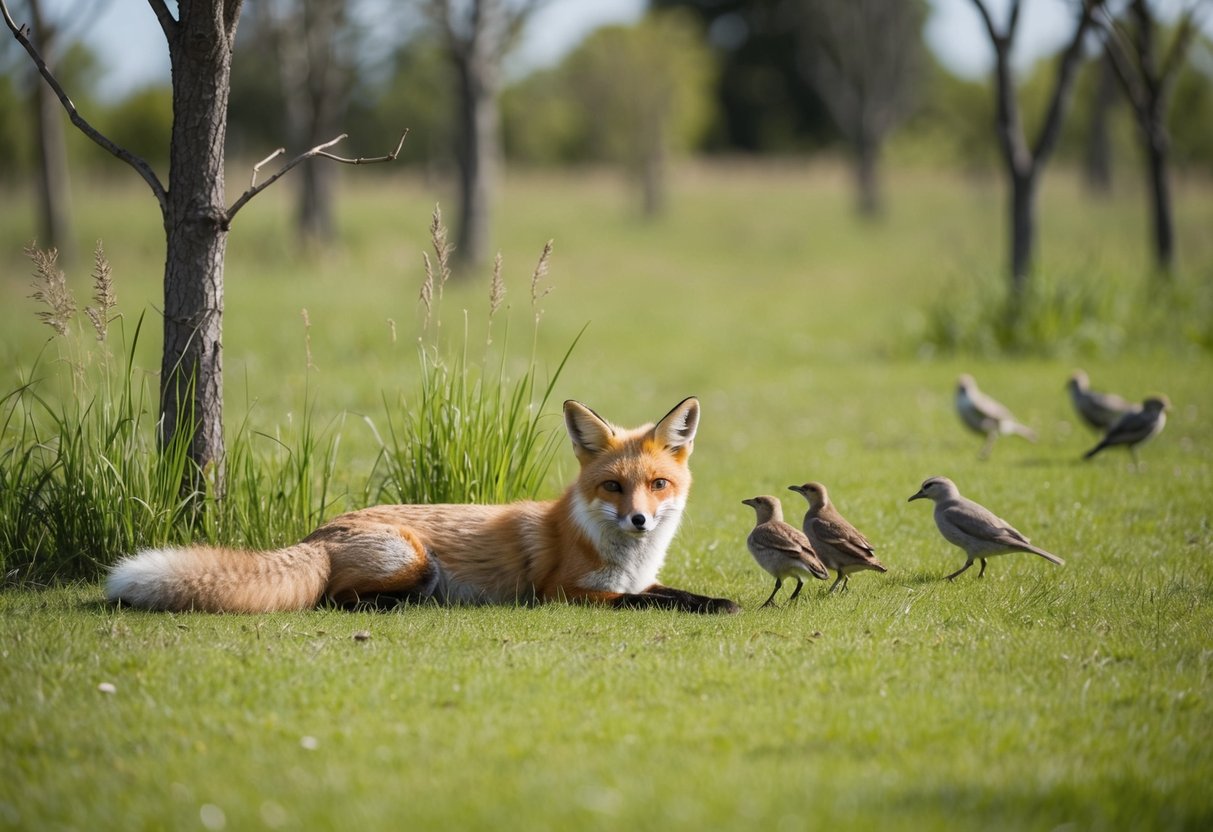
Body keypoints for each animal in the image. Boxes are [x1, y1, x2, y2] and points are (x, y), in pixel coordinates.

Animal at [106, 396, 740, 614]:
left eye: (656, 484)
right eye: (613, 487)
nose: (639, 519)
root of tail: (316, 535)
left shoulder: (637, 581)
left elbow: (677, 595)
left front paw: (719, 602)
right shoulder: (567, 592)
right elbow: (642, 605)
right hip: (413, 561)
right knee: (333, 600)